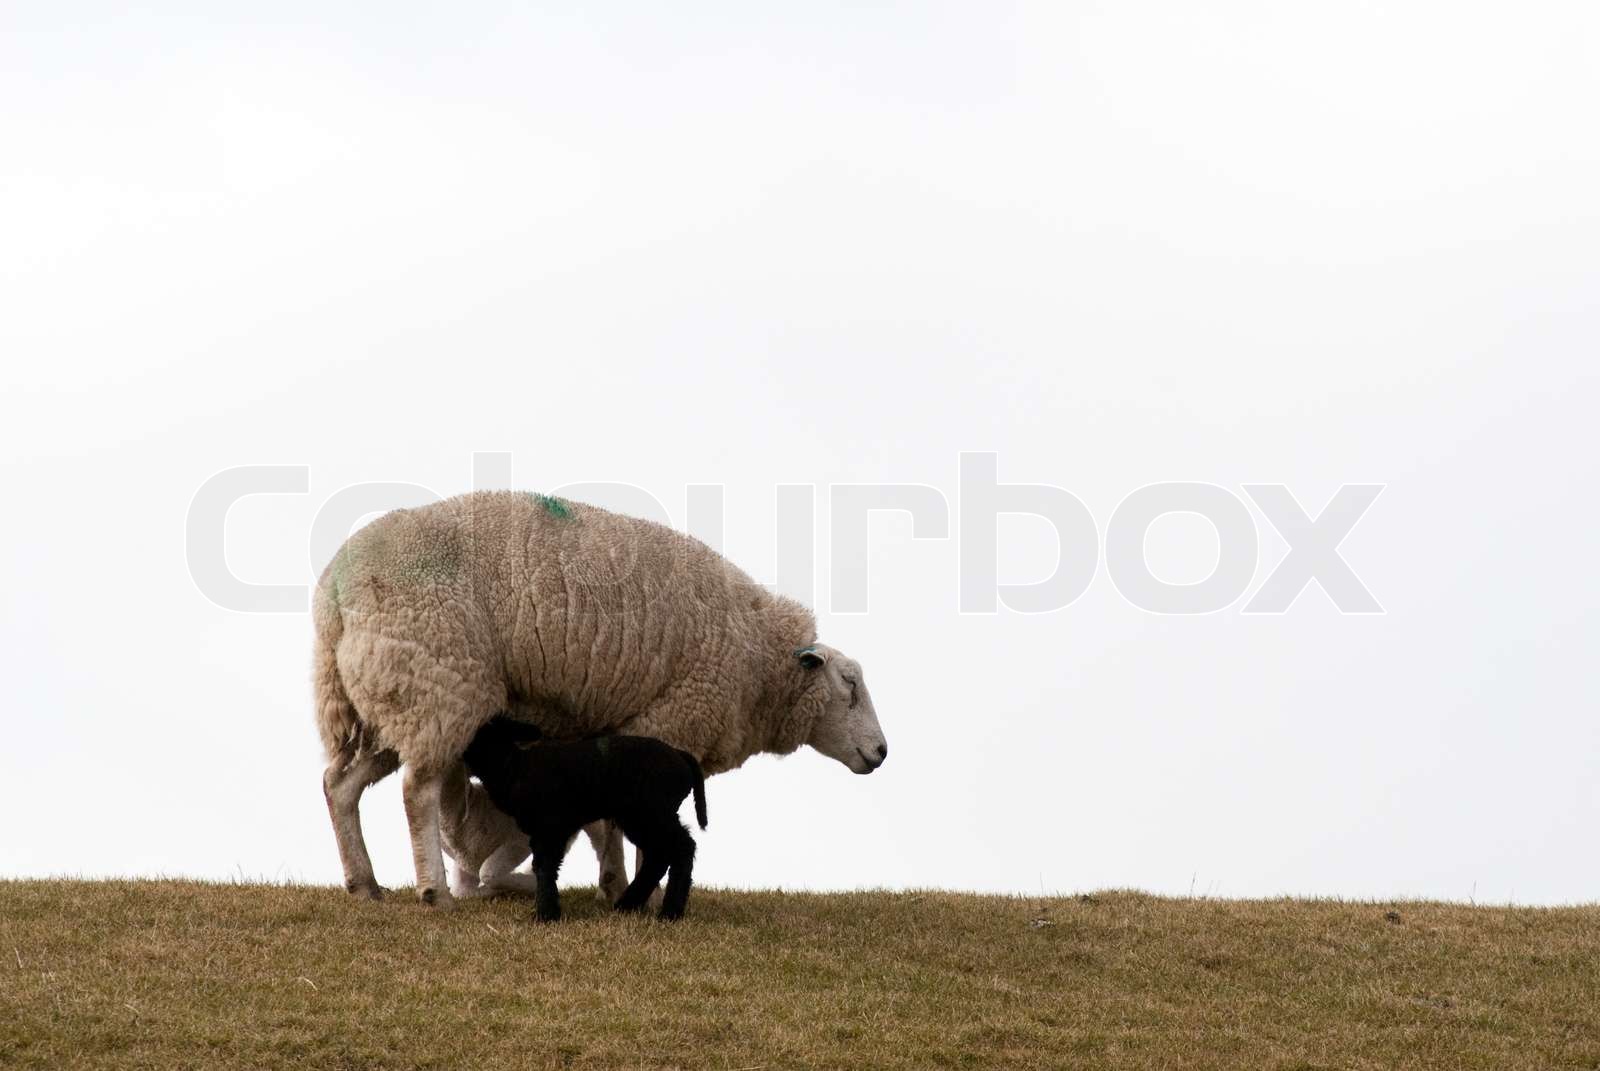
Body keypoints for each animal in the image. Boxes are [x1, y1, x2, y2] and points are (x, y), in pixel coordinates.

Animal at [463, 716, 708, 921]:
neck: (514, 768)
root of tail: (680, 755)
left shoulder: (550, 828)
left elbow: (544, 866)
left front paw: (546, 914)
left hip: (653, 813)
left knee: (683, 847)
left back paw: (670, 912)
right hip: (639, 819)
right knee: (659, 856)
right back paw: (627, 905)